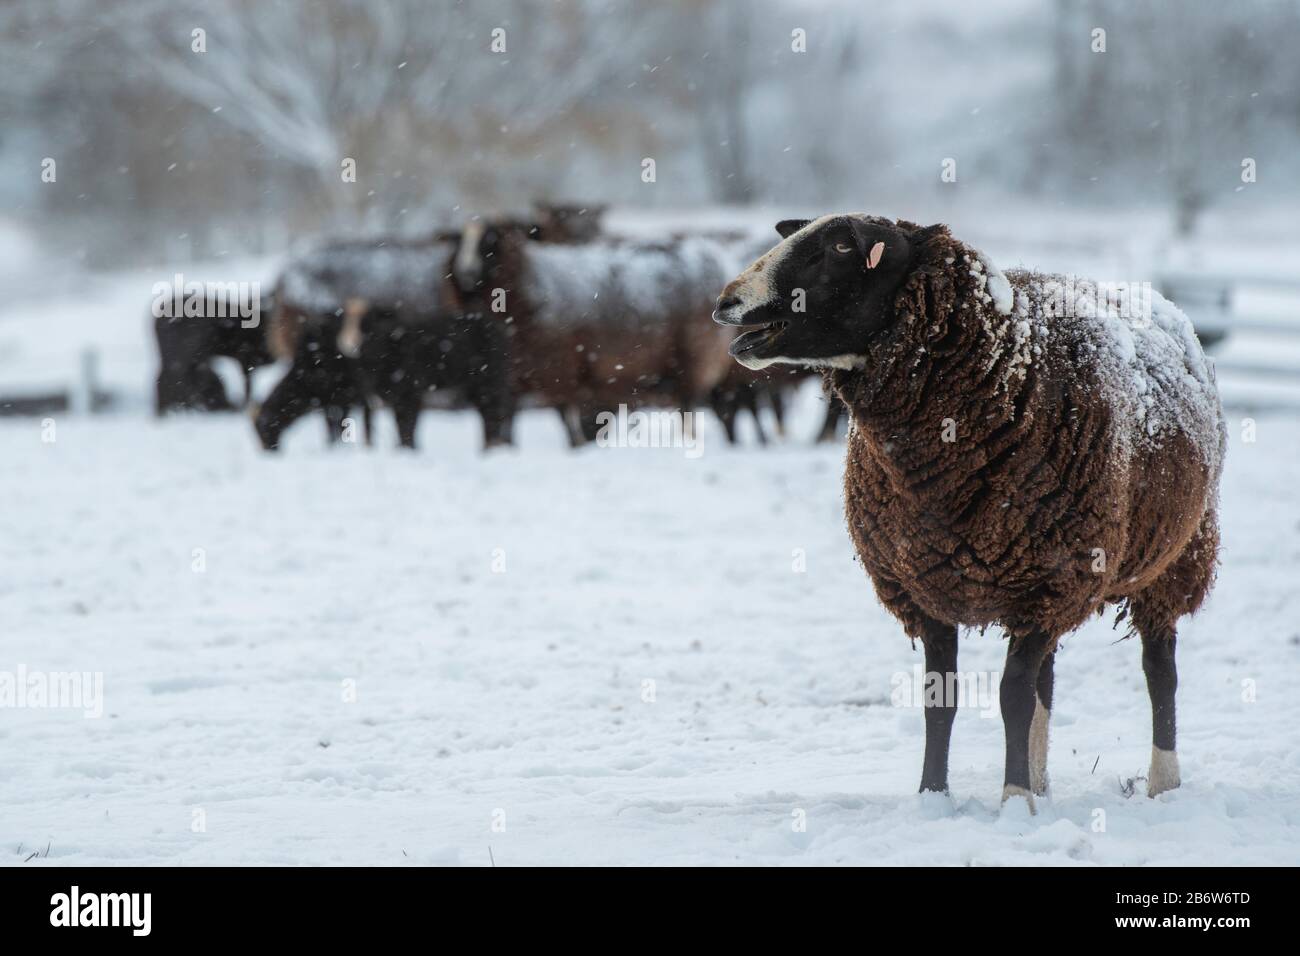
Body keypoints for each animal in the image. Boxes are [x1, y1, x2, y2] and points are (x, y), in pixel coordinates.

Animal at [714, 214, 1225, 809]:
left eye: (840, 246)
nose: (727, 301)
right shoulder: (925, 585)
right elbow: (943, 701)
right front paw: (935, 796)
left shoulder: (1048, 583)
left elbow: (1012, 697)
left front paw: (1013, 799)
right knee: (1048, 680)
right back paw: (1042, 780)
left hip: (1176, 558)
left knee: (1158, 670)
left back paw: (1161, 782)